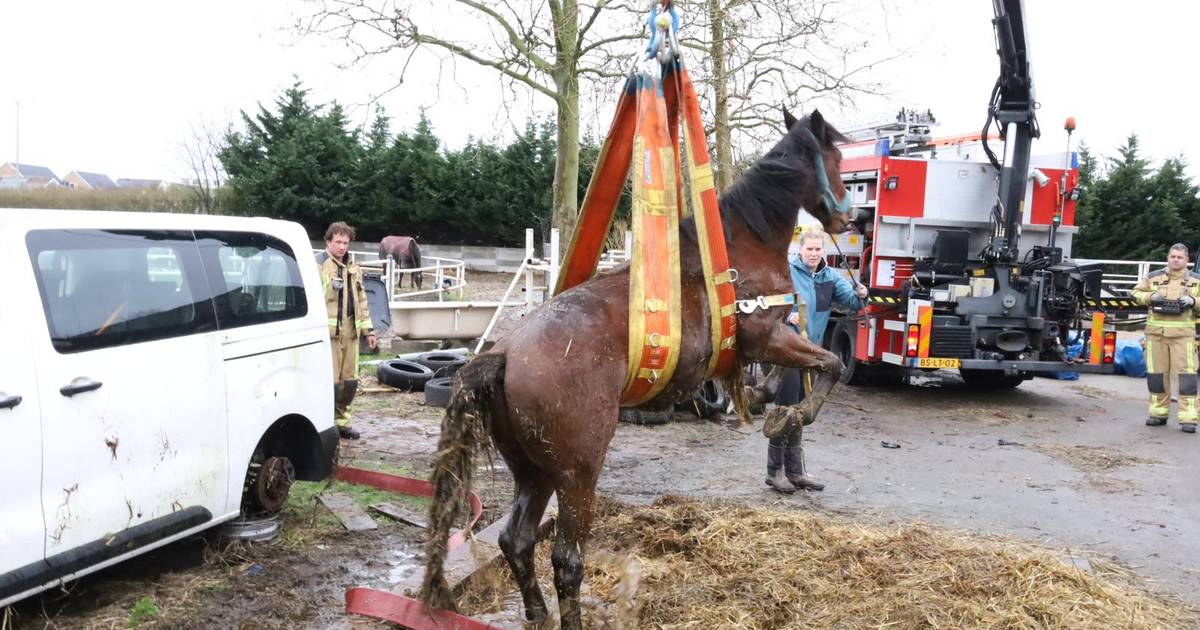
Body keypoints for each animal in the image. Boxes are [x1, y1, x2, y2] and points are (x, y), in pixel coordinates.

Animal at [421, 109, 852, 629]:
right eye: (838, 158)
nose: (849, 215)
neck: (737, 247)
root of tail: (505, 354)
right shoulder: (766, 334)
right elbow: (831, 363)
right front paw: (792, 413)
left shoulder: (763, 342)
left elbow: (784, 371)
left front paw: (766, 399)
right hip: (578, 473)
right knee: (565, 560)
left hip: (533, 471)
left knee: (516, 540)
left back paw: (538, 613)